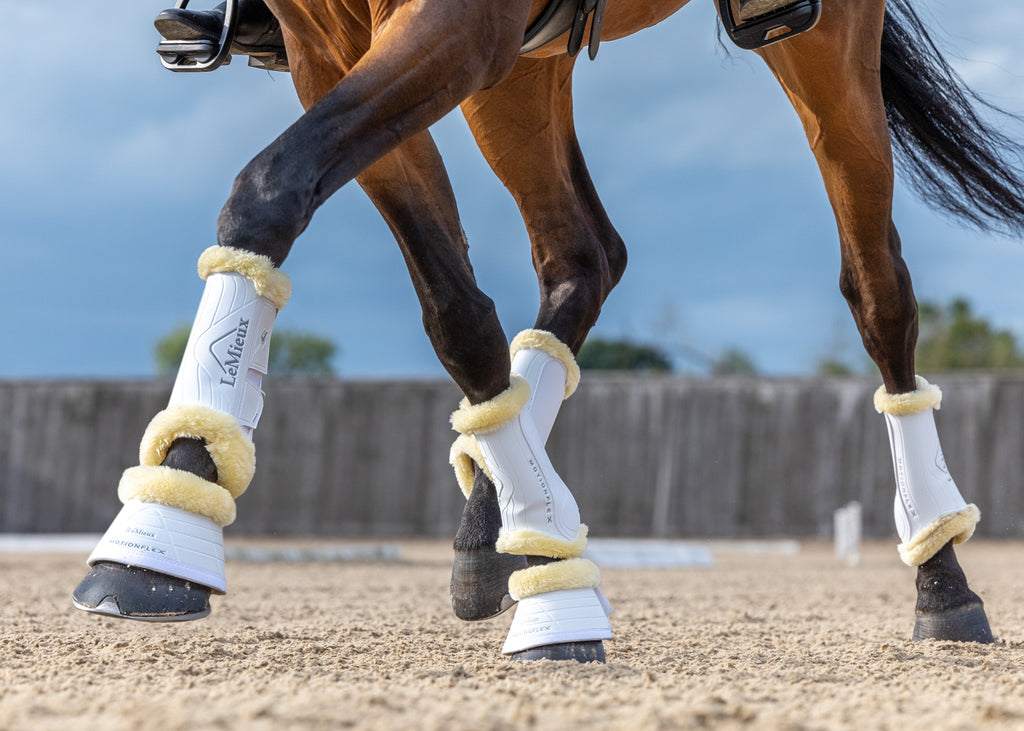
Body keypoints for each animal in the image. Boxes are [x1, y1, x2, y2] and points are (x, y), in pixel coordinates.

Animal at [72, 0, 1024, 662]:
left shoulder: (454, 21)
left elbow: (275, 185)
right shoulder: (328, 45)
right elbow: (444, 301)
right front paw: (166, 517)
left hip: (822, 44)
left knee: (879, 289)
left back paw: (942, 577)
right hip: (521, 71)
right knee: (583, 254)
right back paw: (496, 524)